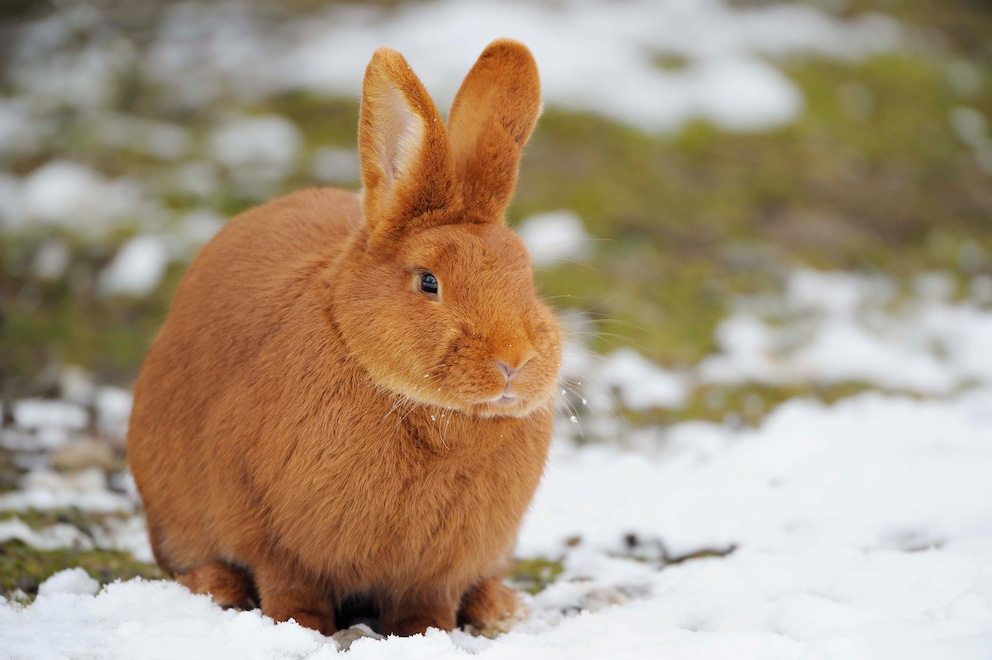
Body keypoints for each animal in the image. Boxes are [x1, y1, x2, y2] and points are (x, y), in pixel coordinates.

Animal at [127, 39, 561, 637]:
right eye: (429, 282)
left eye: (527, 275)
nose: (513, 361)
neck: (433, 415)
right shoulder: (269, 528)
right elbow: (290, 583)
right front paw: (301, 627)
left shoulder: (437, 568)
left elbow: (427, 602)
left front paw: (426, 636)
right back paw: (216, 586)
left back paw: (500, 605)